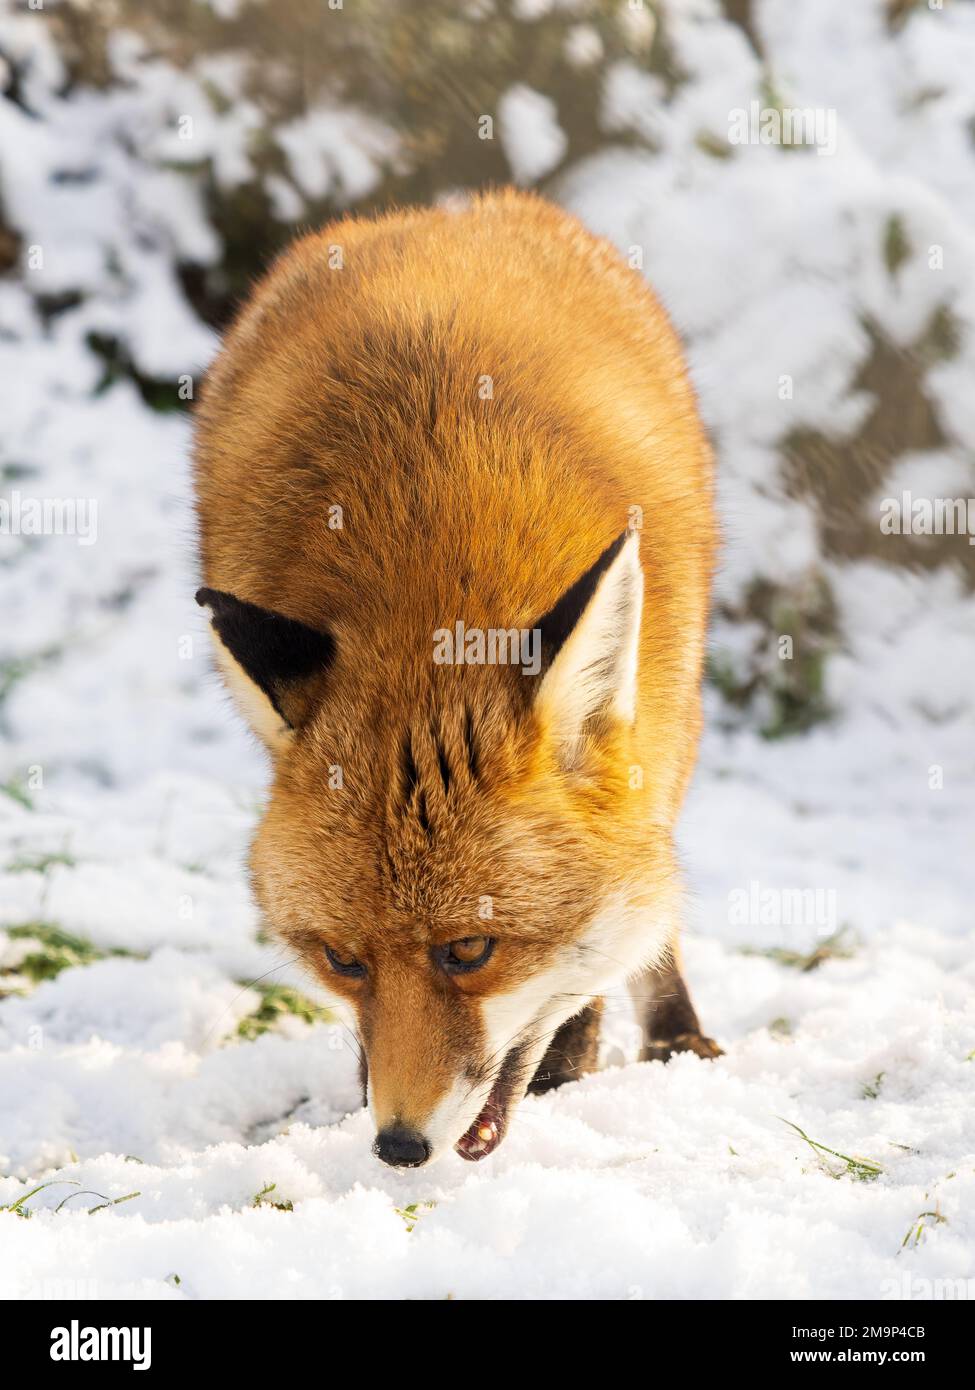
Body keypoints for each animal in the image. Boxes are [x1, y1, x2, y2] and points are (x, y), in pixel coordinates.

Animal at [193, 188, 720, 1169]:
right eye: (344, 961)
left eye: (470, 950)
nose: (398, 1146)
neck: (433, 567)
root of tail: (440, 211)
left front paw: (586, 1056)